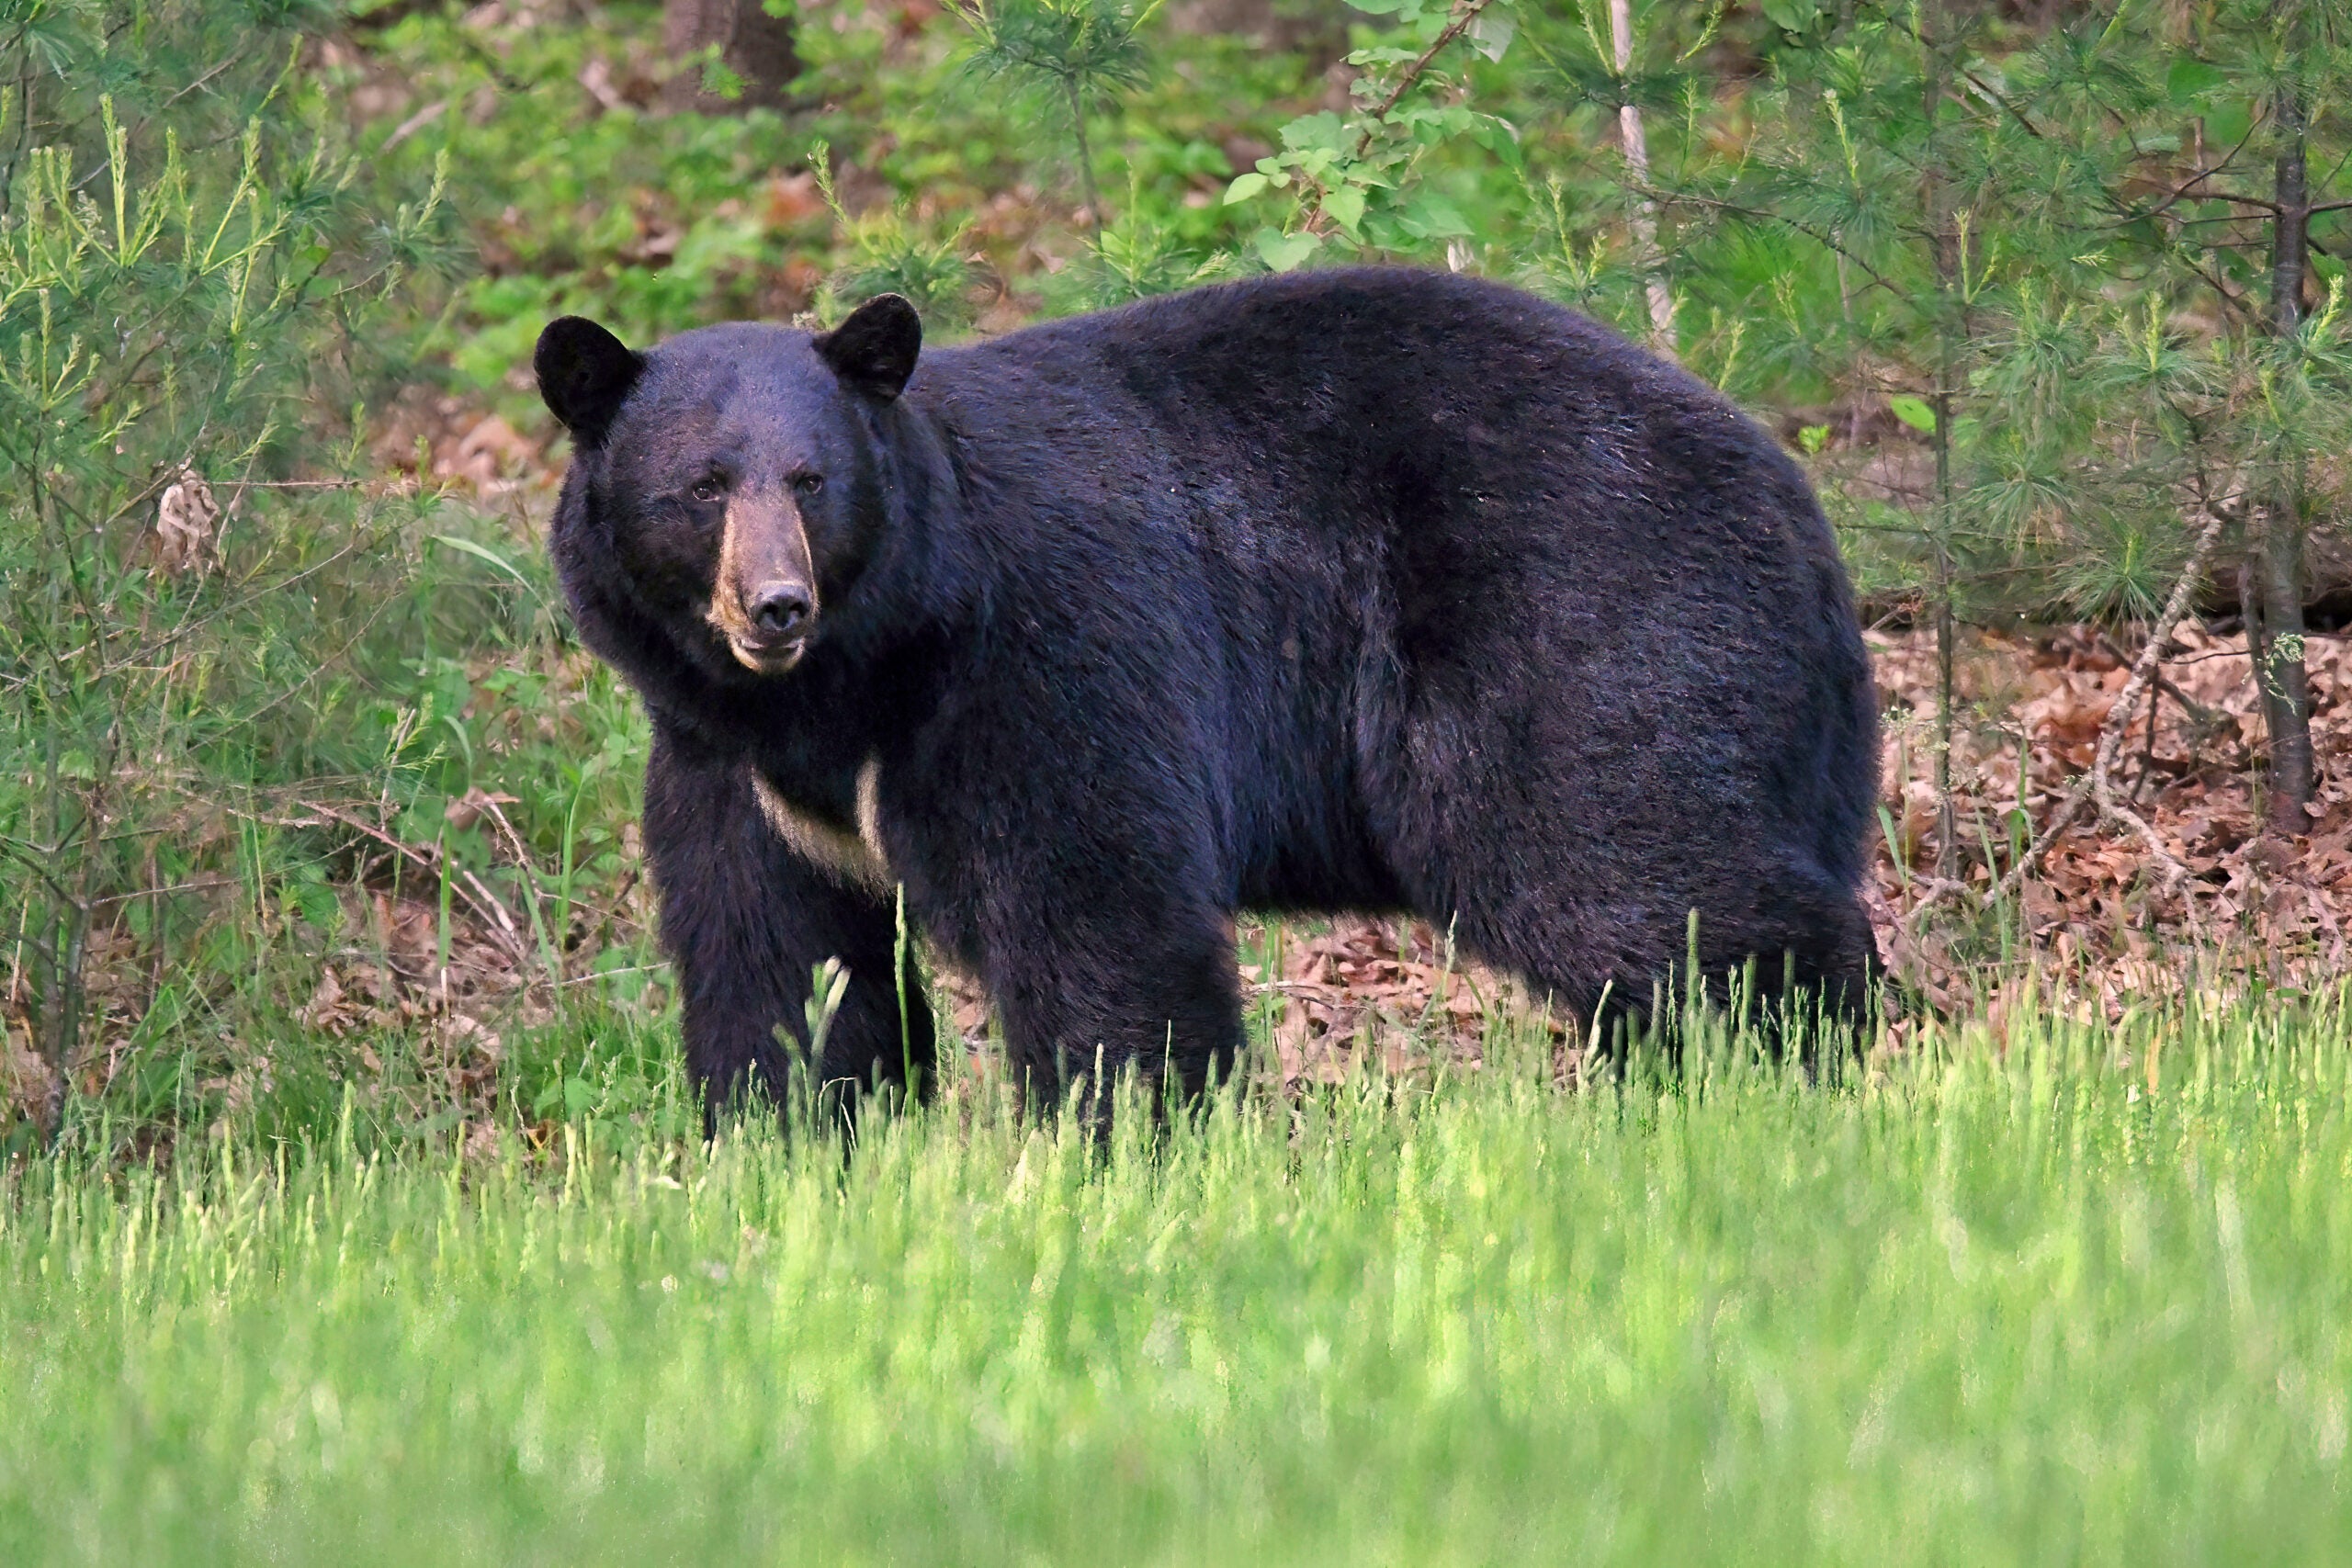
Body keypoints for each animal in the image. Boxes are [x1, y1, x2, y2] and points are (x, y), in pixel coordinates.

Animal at [533, 266, 1880, 1121]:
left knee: (1615, 861)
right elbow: (780, 962)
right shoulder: (726, 765)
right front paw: (785, 1146)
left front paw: (1133, 1140)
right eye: (701, 486)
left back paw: (1784, 1071)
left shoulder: (1037, 655)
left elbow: (1094, 907)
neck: (854, 680)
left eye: (811, 480)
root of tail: (1795, 503)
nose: (776, 605)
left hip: (1579, 613)